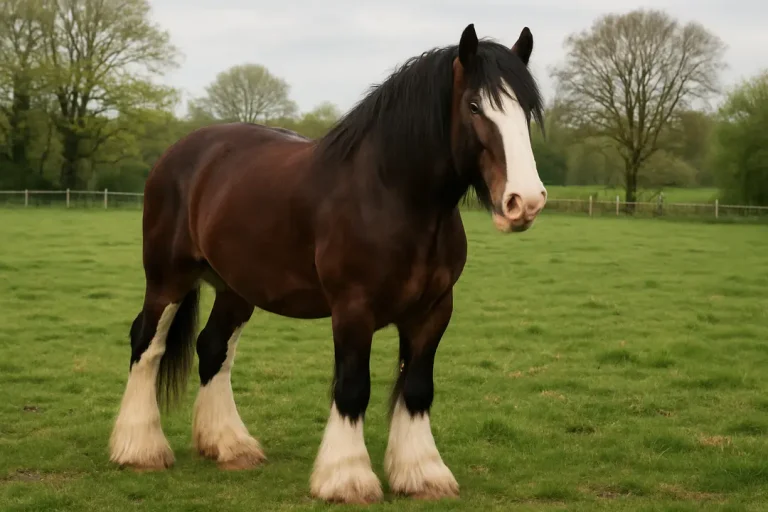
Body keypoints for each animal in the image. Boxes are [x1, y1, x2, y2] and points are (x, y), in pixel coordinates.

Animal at [108, 23, 547, 504]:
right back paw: (139, 449)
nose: (524, 201)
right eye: (474, 106)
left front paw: (423, 474)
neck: (392, 195)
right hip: (167, 278)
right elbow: (352, 388)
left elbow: (417, 388)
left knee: (213, 349)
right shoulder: (353, 310)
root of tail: (180, 153)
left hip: (235, 288)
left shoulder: (433, 312)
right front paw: (347, 478)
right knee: (147, 344)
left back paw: (229, 446)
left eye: (527, 109)